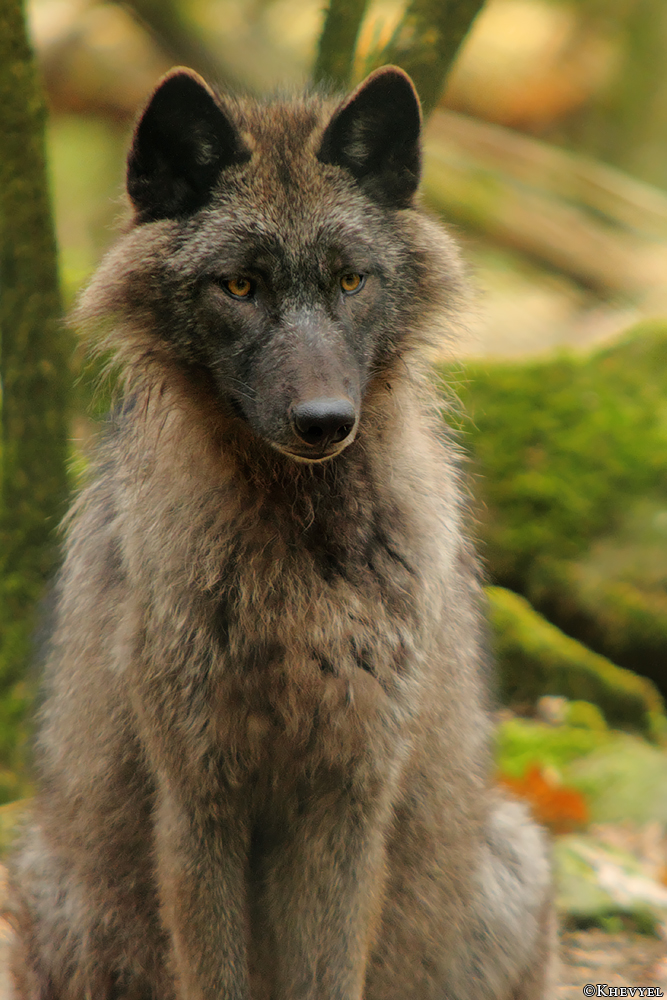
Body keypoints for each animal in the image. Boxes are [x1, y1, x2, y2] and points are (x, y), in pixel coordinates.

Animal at [8, 65, 554, 999]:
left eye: (349, 281)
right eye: (240, 286)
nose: (324, 421)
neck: (294, 569)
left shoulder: (345, 800)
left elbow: (326, 972)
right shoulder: (200, 806)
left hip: (514, 863)